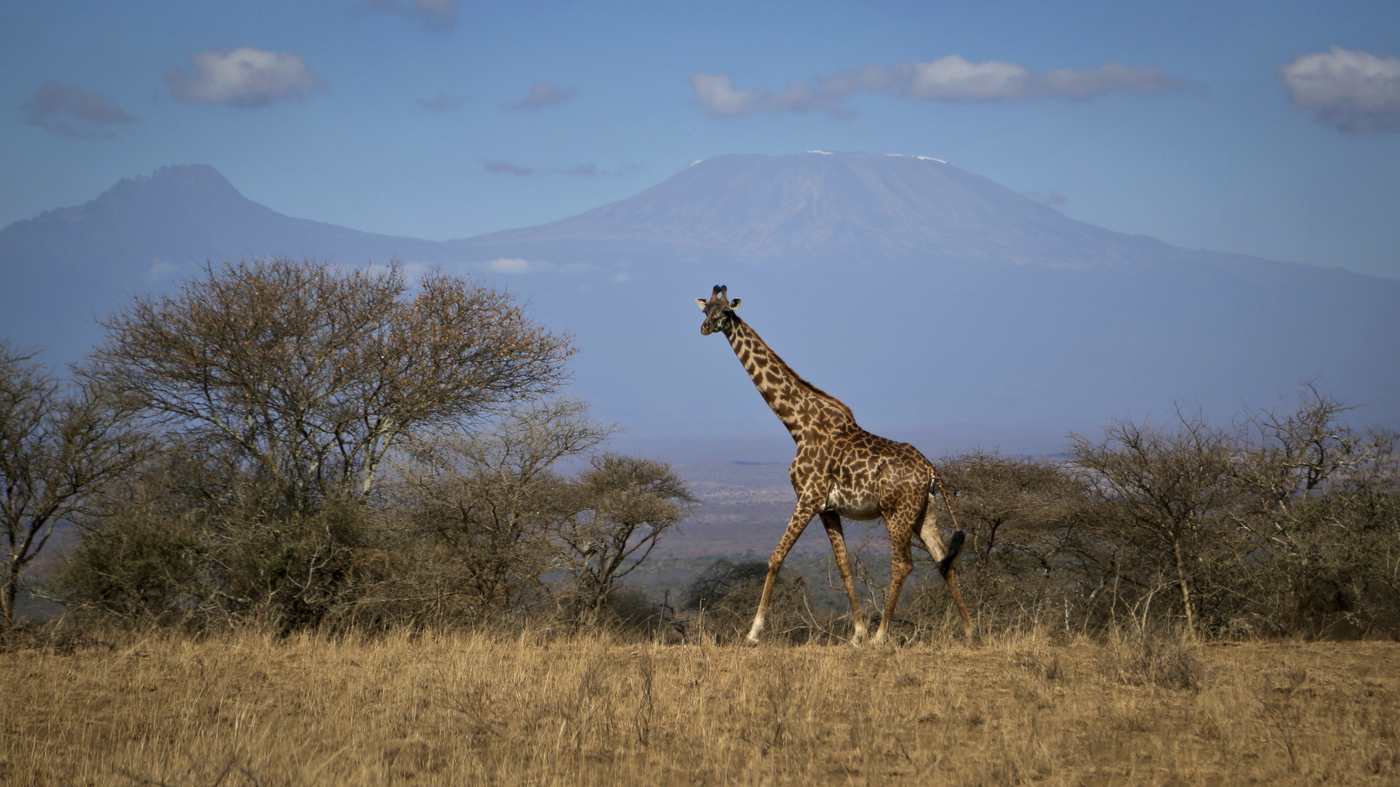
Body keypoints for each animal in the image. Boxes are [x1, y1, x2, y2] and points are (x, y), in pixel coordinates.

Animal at [697, 285, 972, 645]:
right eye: (706, 310)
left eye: (726, 312)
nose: (705, 328)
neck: (798, 425)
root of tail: (931, 472)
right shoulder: (828, 508)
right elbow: (844, 566)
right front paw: (856, 634)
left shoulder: (808, 497)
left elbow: (776, 557)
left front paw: (753, 633)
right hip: (924, 513)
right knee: (943, 559)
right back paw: (970, 630)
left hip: (896, 513)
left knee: (903, 565)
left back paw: (881, 636)